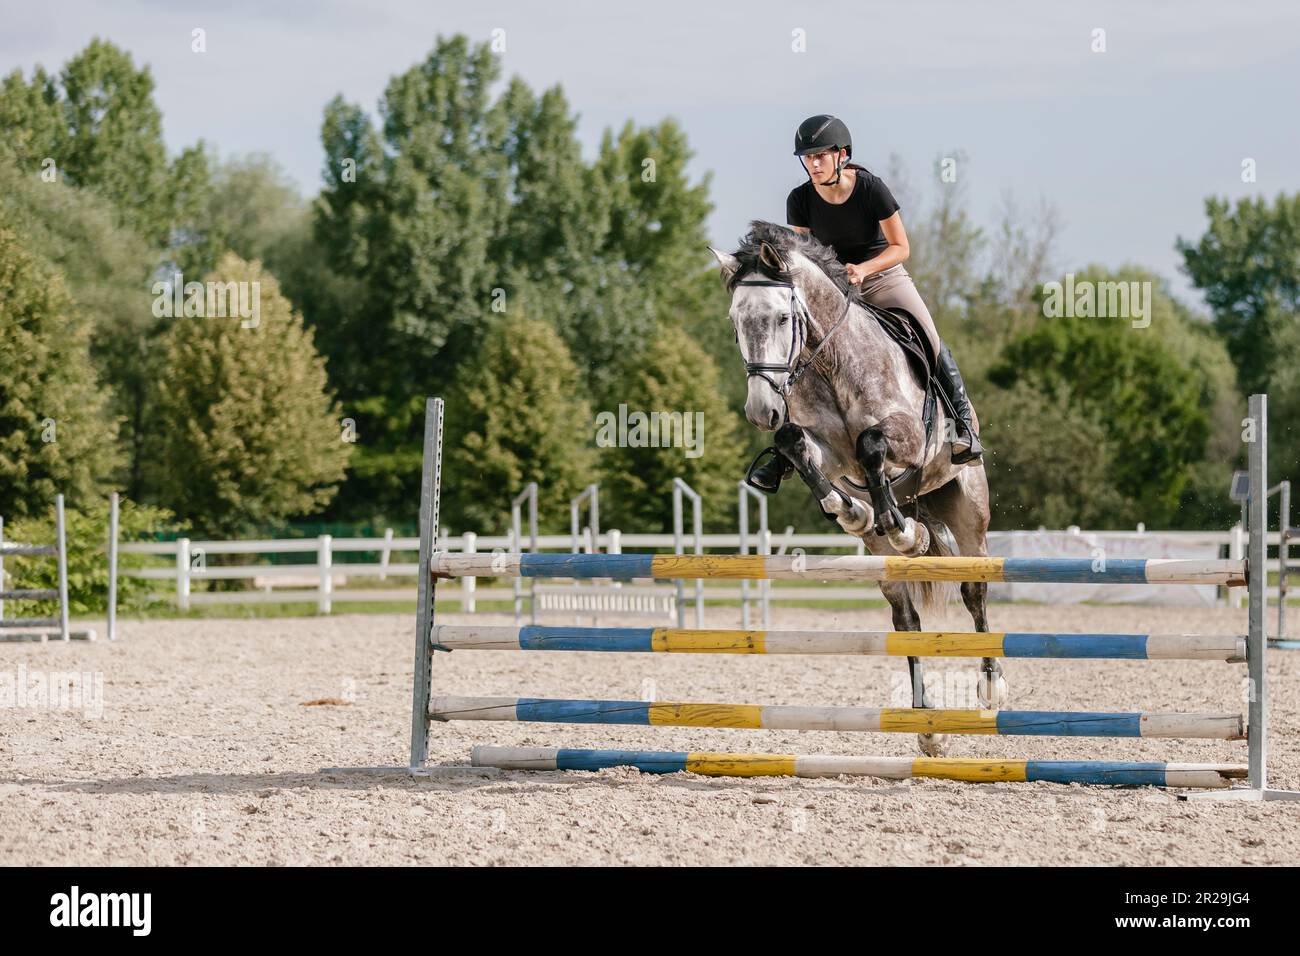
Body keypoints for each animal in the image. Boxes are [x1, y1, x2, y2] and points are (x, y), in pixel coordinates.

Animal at [710, 221, 1004, 756]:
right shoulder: (829, 453)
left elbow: (871, 443)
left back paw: (990, 686)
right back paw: (927, 728)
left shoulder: (907, 438)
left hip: (966, 505)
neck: (828, 361)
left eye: (782, 317)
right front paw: (851, 510)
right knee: (905, 620)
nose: (762, 411)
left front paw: (905, 531)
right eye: (736, 322)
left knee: (974, 589)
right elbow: (796, 447)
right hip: (882, 554)